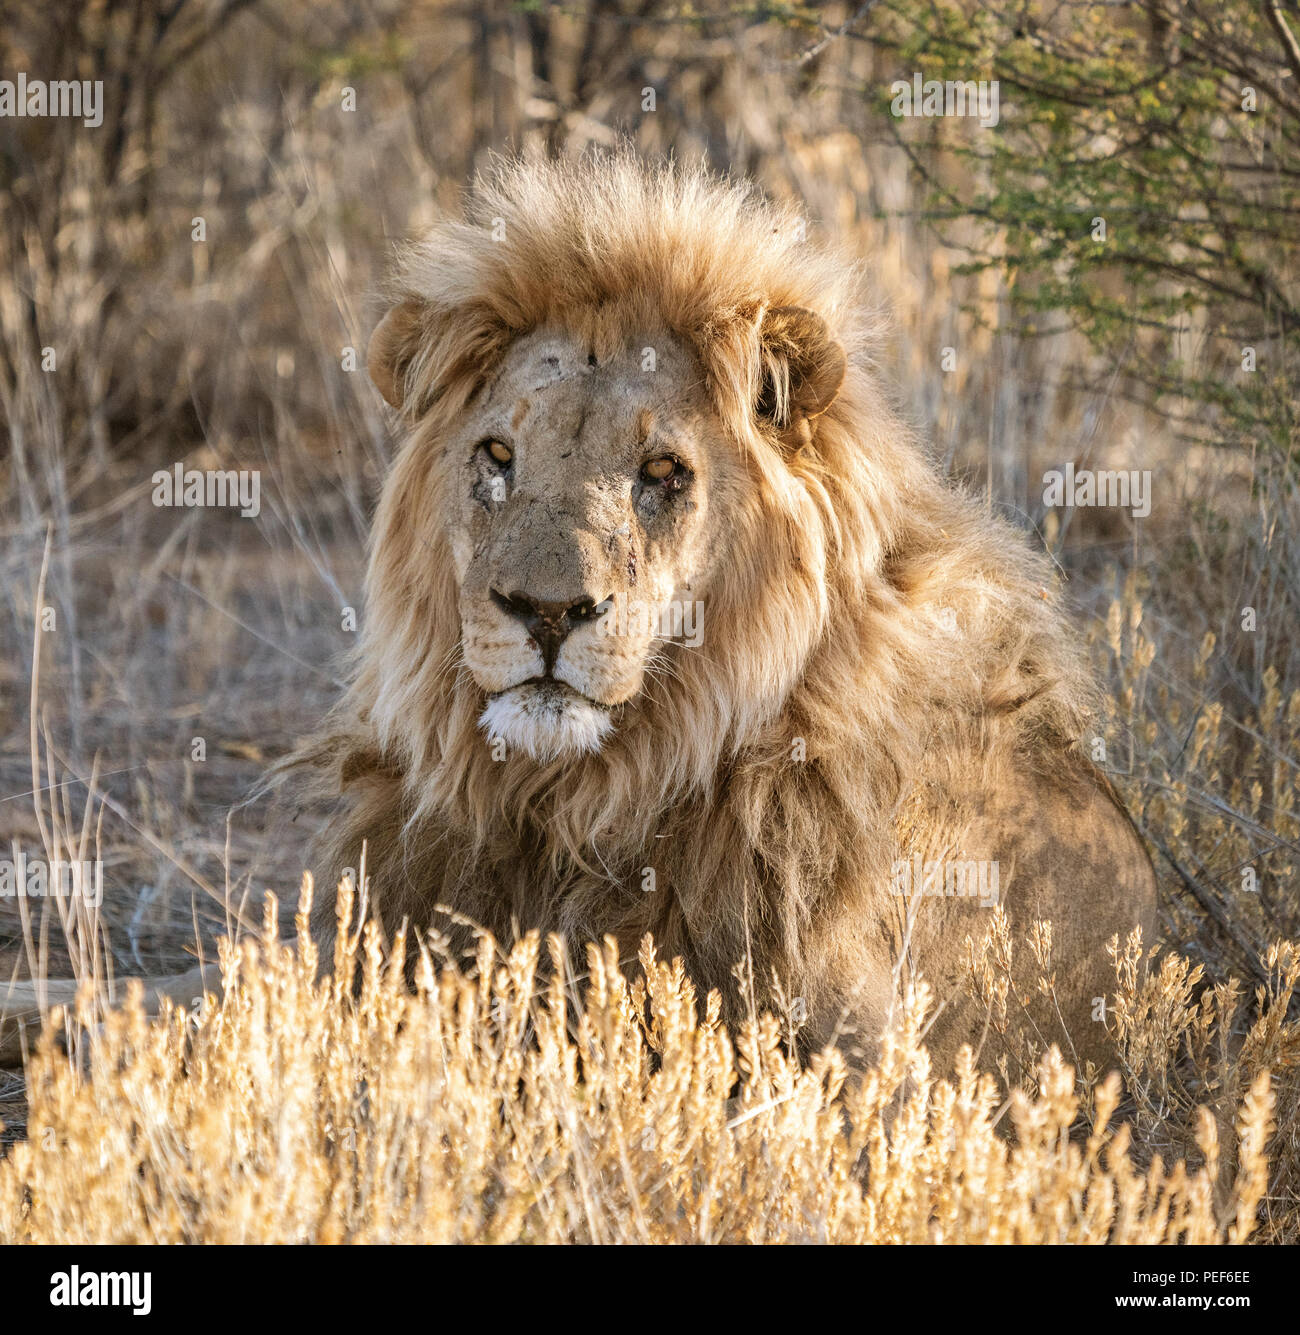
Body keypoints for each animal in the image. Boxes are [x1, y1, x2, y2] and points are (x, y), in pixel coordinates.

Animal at [2, 153, 1156, 1075]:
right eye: (497, 456)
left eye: (663, 474)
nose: (546, 611)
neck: (570, 803)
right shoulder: (376, 937)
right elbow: (155, 994)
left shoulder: (866, 1052)